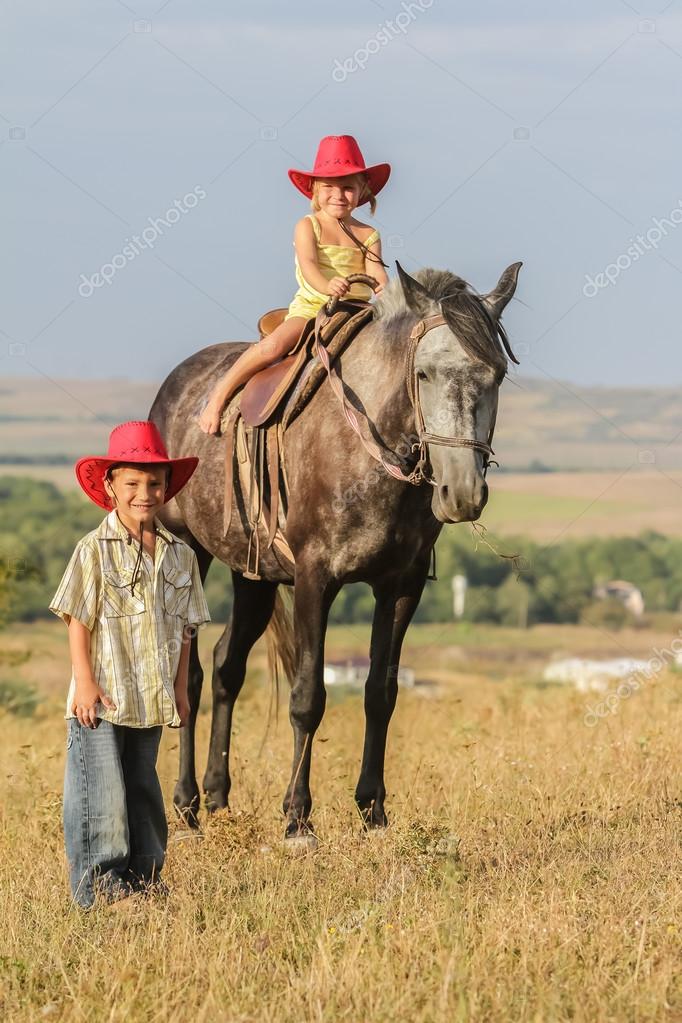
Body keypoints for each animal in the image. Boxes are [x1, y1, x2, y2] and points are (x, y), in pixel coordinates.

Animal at [149, 261, 521, 842]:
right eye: (423, 374)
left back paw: (218, 797)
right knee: (188, 674)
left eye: (497, 376)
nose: (461, 494)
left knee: (228, 665)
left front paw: (374, 811)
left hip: (252, 576)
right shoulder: (314, 581)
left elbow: (380, 694)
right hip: (187, 553)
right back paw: (186, 807)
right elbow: (308, 697)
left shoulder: (400, 587)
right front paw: (297, 818)